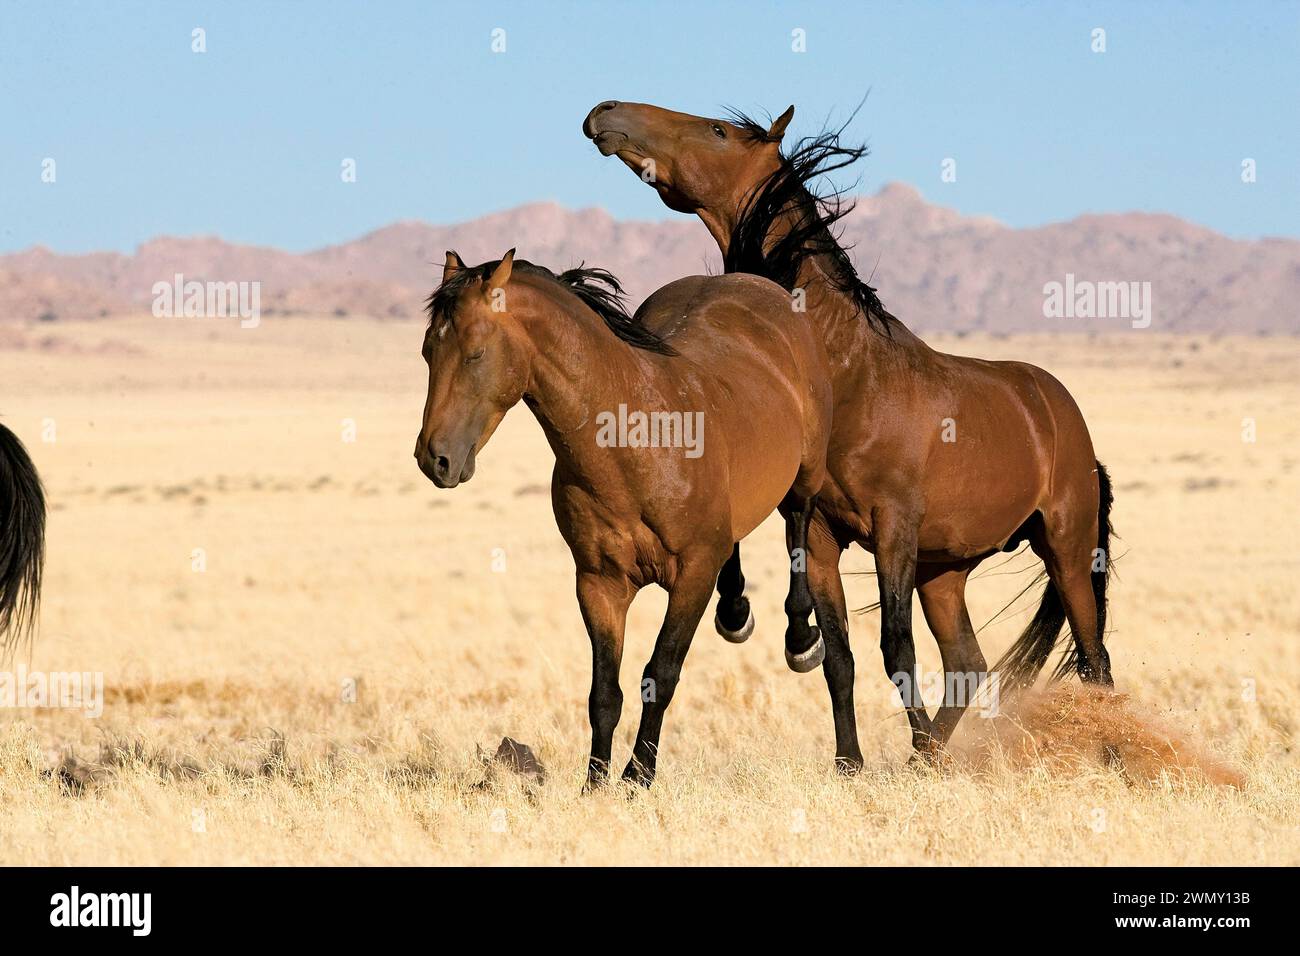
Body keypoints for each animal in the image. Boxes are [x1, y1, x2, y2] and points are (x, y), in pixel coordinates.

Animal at [414, 249, 832, 787]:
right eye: (428, 351)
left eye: (475, 354)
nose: (435, 459)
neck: (635, 444)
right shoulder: (599, 583)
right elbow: (604, 693)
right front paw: (595, 783)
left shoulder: (692, 577)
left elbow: (661, 673)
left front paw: (637, 776)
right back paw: (736, 611)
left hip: (806, 475)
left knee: (797, 524)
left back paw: (801, 640)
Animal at [584, 100, 1114, 768]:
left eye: (718, 130)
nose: (605, 114)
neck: (854, 373)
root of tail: (1063, 414)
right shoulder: (820, 536)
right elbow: (841, 657)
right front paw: (850, 762)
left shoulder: (892, 530)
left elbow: (896, 648)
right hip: (945, 571)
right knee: (968, 663)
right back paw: (929, 760)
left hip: (1067, 548)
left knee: (1094, 659)